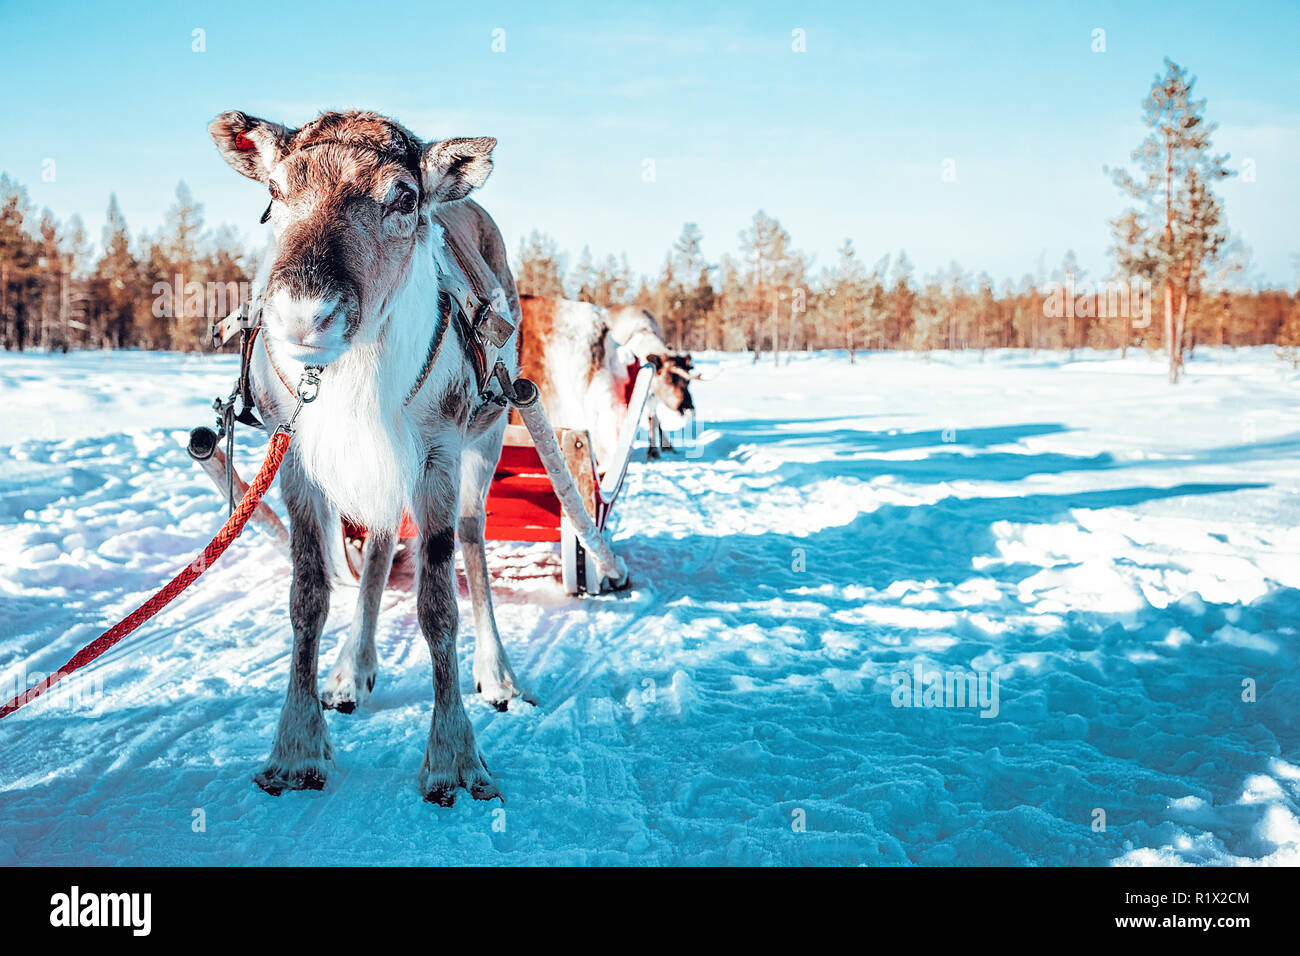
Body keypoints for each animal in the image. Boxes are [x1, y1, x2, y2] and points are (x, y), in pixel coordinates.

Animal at [208, 108, 532, 806]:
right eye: (274, 191)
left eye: (404, 197)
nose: (303, 316)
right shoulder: (297, 456)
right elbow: (309, 595)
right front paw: (296, 748)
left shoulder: (437, 451)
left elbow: (438, 605)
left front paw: (454, 758)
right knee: (380, 545)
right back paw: (351, 672)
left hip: (486, 436)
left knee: (473, 539)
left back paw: (498, 676)